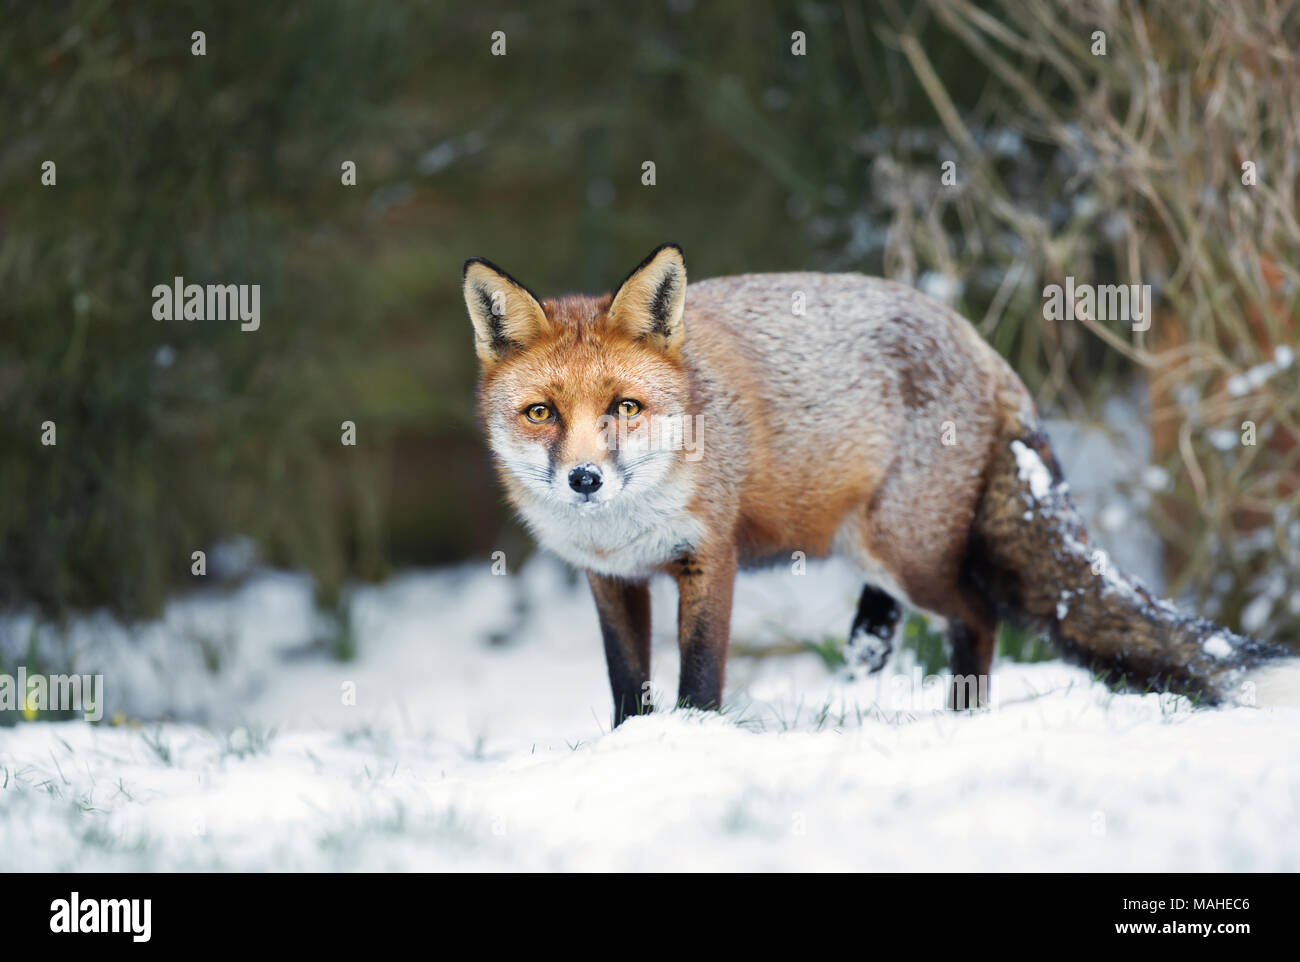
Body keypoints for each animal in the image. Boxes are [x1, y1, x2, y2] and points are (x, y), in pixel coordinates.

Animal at [463, 242, 1300, 724]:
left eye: (625, 407)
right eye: (541, 413)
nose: (584, 479)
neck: (622, 526)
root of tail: (977, 341)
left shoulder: (709, 558)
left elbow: (698, 678)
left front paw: (692, 744)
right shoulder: (611, 579)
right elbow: (626, 687)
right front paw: (634, 750)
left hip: (903, 551)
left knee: (979, 615)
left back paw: (962, 720)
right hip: (870, 551)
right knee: (899, 623)